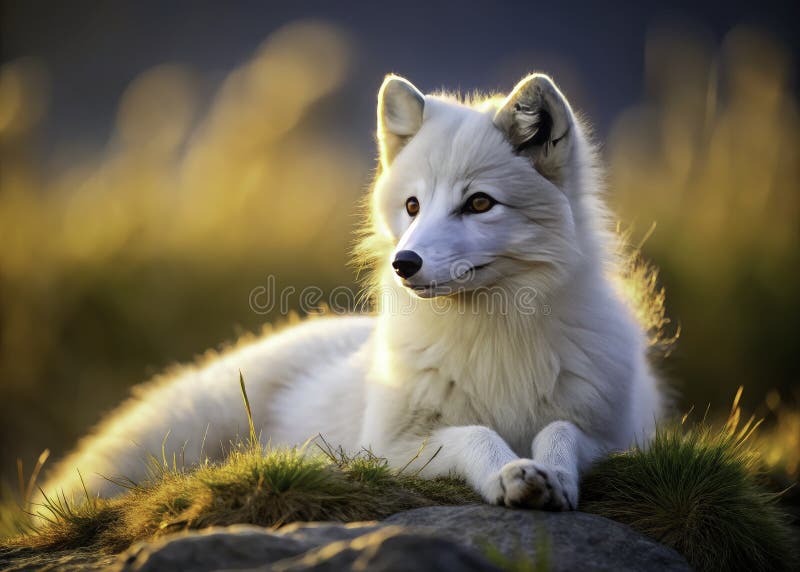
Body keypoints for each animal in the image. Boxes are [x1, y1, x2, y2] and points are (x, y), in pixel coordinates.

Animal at [42, 73, 664, 511]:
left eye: (480, 203)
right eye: (412, 206)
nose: (403, 264)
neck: (492, 337)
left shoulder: (621, 435)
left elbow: (559, 431)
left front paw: (552, 474)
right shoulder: (386, 448)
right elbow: (474, 433)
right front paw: (506, 471)